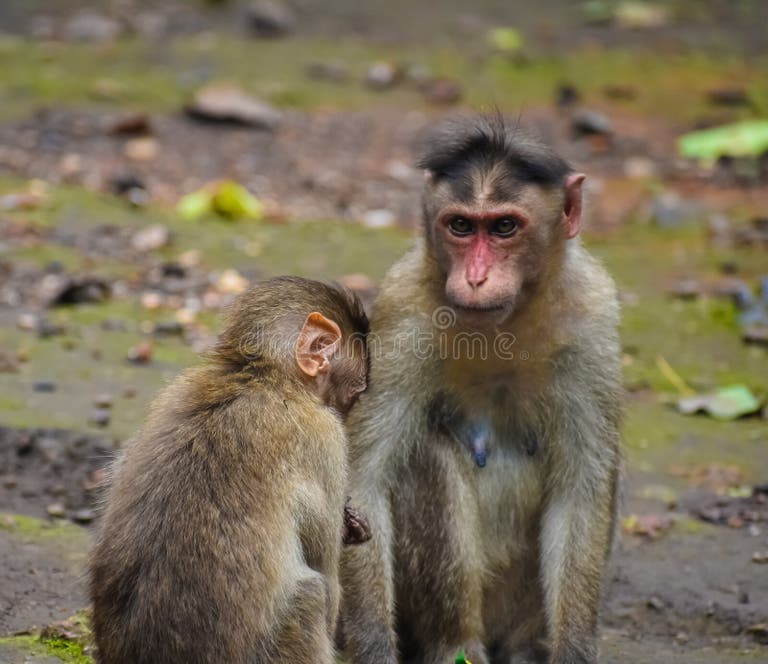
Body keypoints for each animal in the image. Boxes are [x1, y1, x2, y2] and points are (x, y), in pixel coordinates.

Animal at [89, 276, 369, 664]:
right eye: (355, 395)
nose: (347, 416)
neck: (264, 377)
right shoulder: (325, 439)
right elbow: (327, 589)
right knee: (311, 596)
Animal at [340, 115, 622, 664]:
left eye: (505, 227)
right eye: (462, 226)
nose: (475, 277)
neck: (503, 324)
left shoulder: (591, 321)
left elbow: (580, 491)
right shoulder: (403, 314)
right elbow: (364, 484)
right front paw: (373, 647)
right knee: (424, 453)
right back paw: (456, 644)